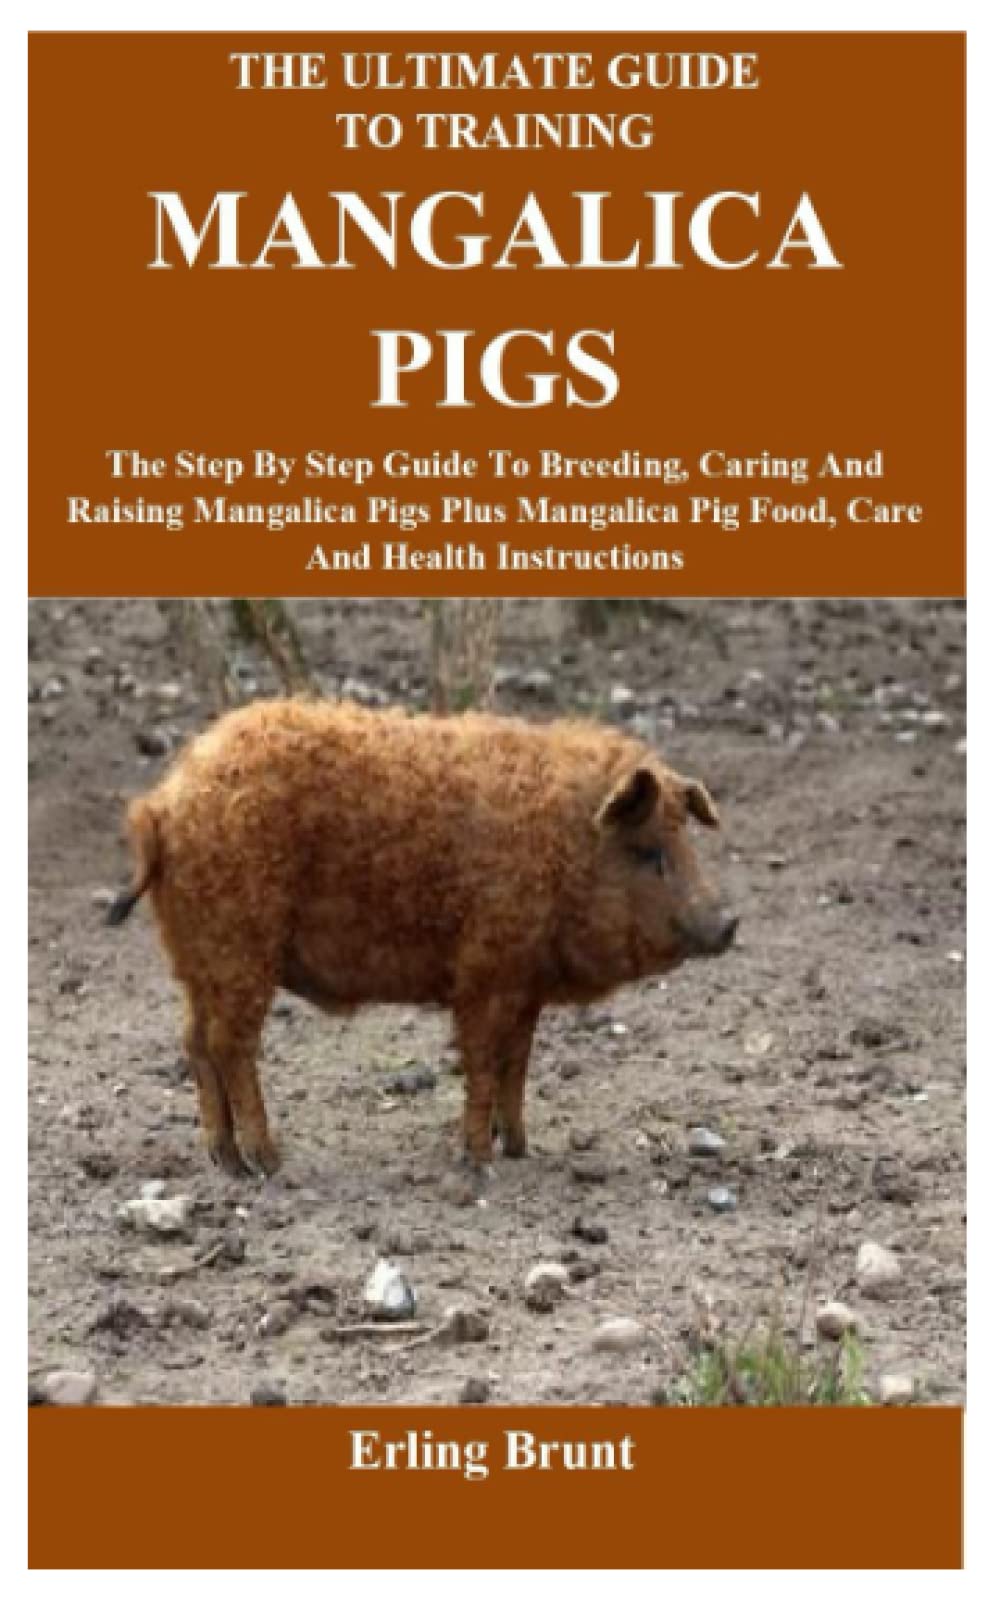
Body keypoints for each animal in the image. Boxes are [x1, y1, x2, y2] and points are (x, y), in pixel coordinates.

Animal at [109, 698, 737, 1176]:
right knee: (230, 1046)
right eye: (648, 851)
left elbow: (517, 1064)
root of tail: (160, 804)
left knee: (194, 1041)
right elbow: (482, 1064)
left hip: (196, 959)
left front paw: (522, 1150)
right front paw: (479, 1160)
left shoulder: (524, 985)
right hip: (239, 949)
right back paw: (268, 1163)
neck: (564, 851)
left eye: (687, 840)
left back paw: (226, 1161)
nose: (729, 921)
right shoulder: (485, 971)